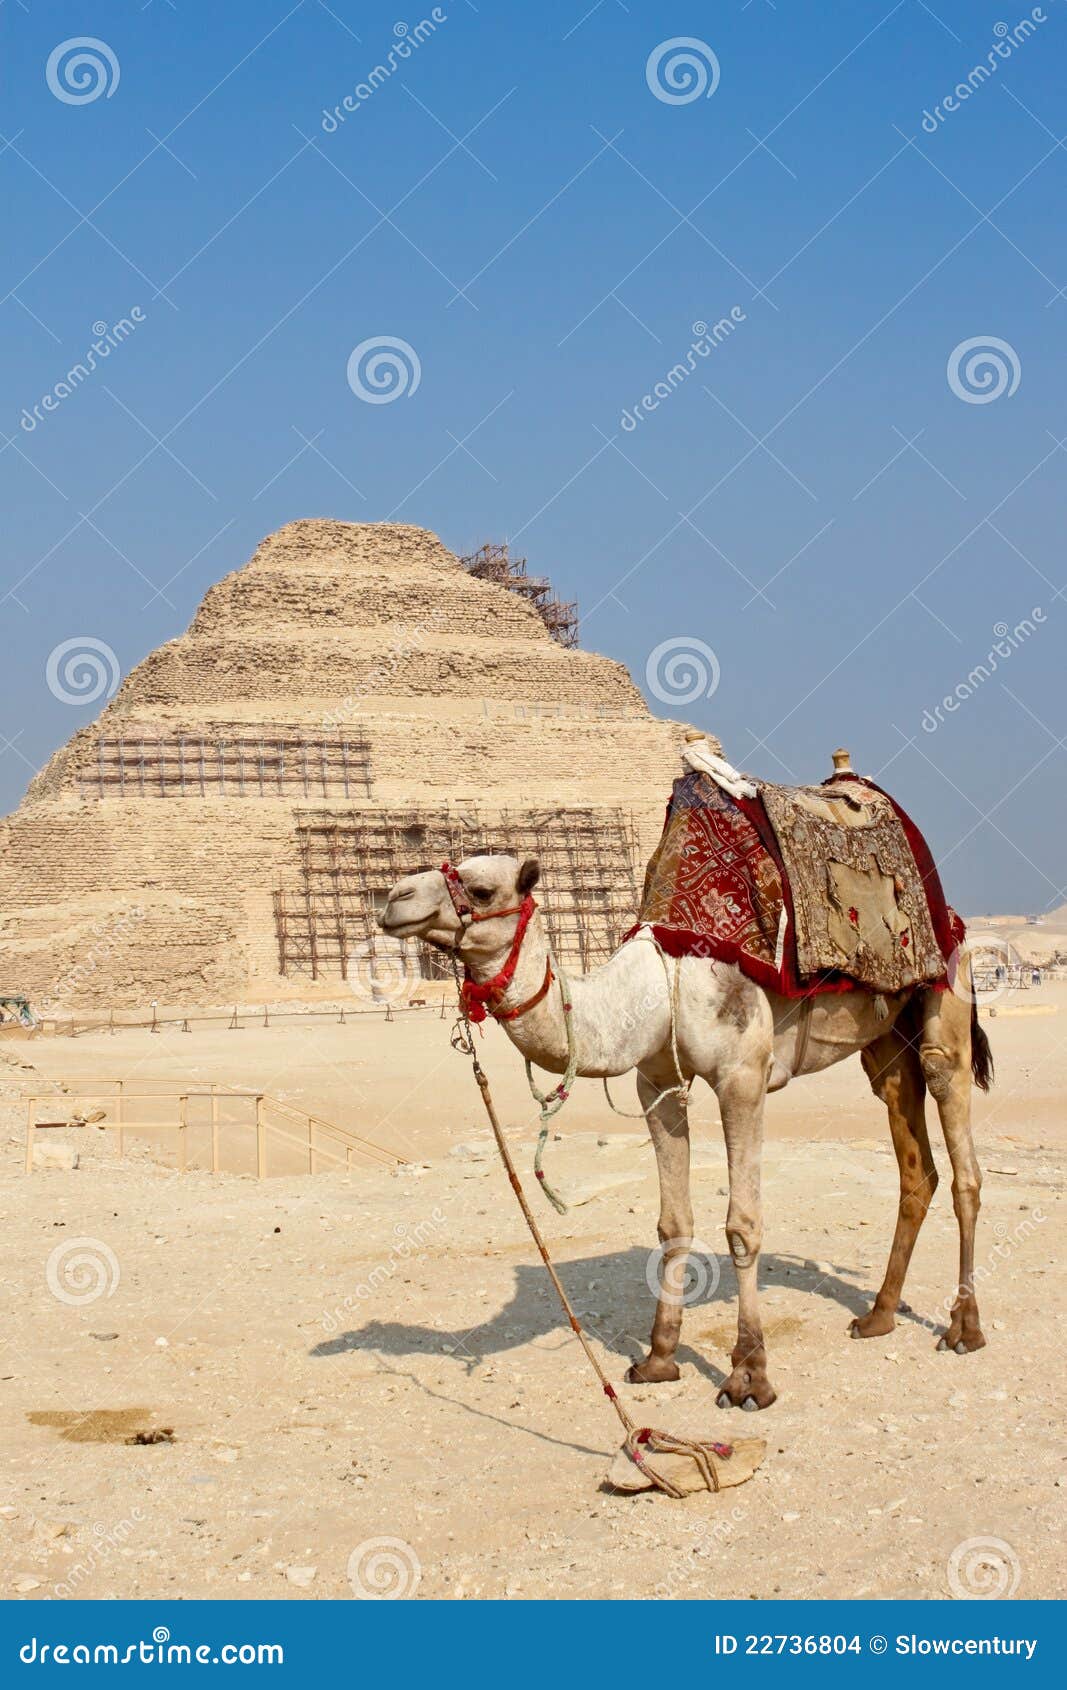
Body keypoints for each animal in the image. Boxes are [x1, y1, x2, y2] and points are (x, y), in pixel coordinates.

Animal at [379, 852, 992, 1411]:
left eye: (481, 889)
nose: (393, 899)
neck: (656, 985)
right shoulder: (656, 1082)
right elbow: (673, 1223)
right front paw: (657, 1358)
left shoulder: (743, 1076)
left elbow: (742, 1227)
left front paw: (749, 1376)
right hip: (886, 1043)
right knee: (914, 1162)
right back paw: (878, 1315)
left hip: (947, 998)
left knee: (959, 1144)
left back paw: (963, 1327)